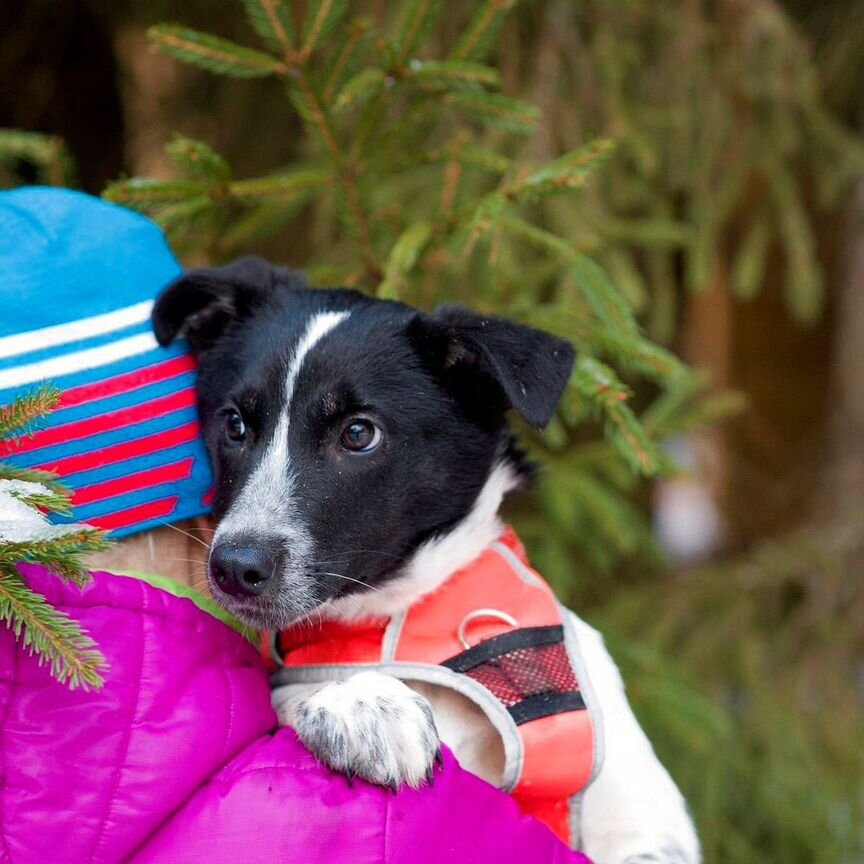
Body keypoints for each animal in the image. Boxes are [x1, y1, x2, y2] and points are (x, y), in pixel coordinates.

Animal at [155, 256, 704, 864]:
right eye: (234, 424)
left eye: (359, 433)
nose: (234, 568)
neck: (405, 620)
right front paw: (362, 703)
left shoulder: (643, 825)